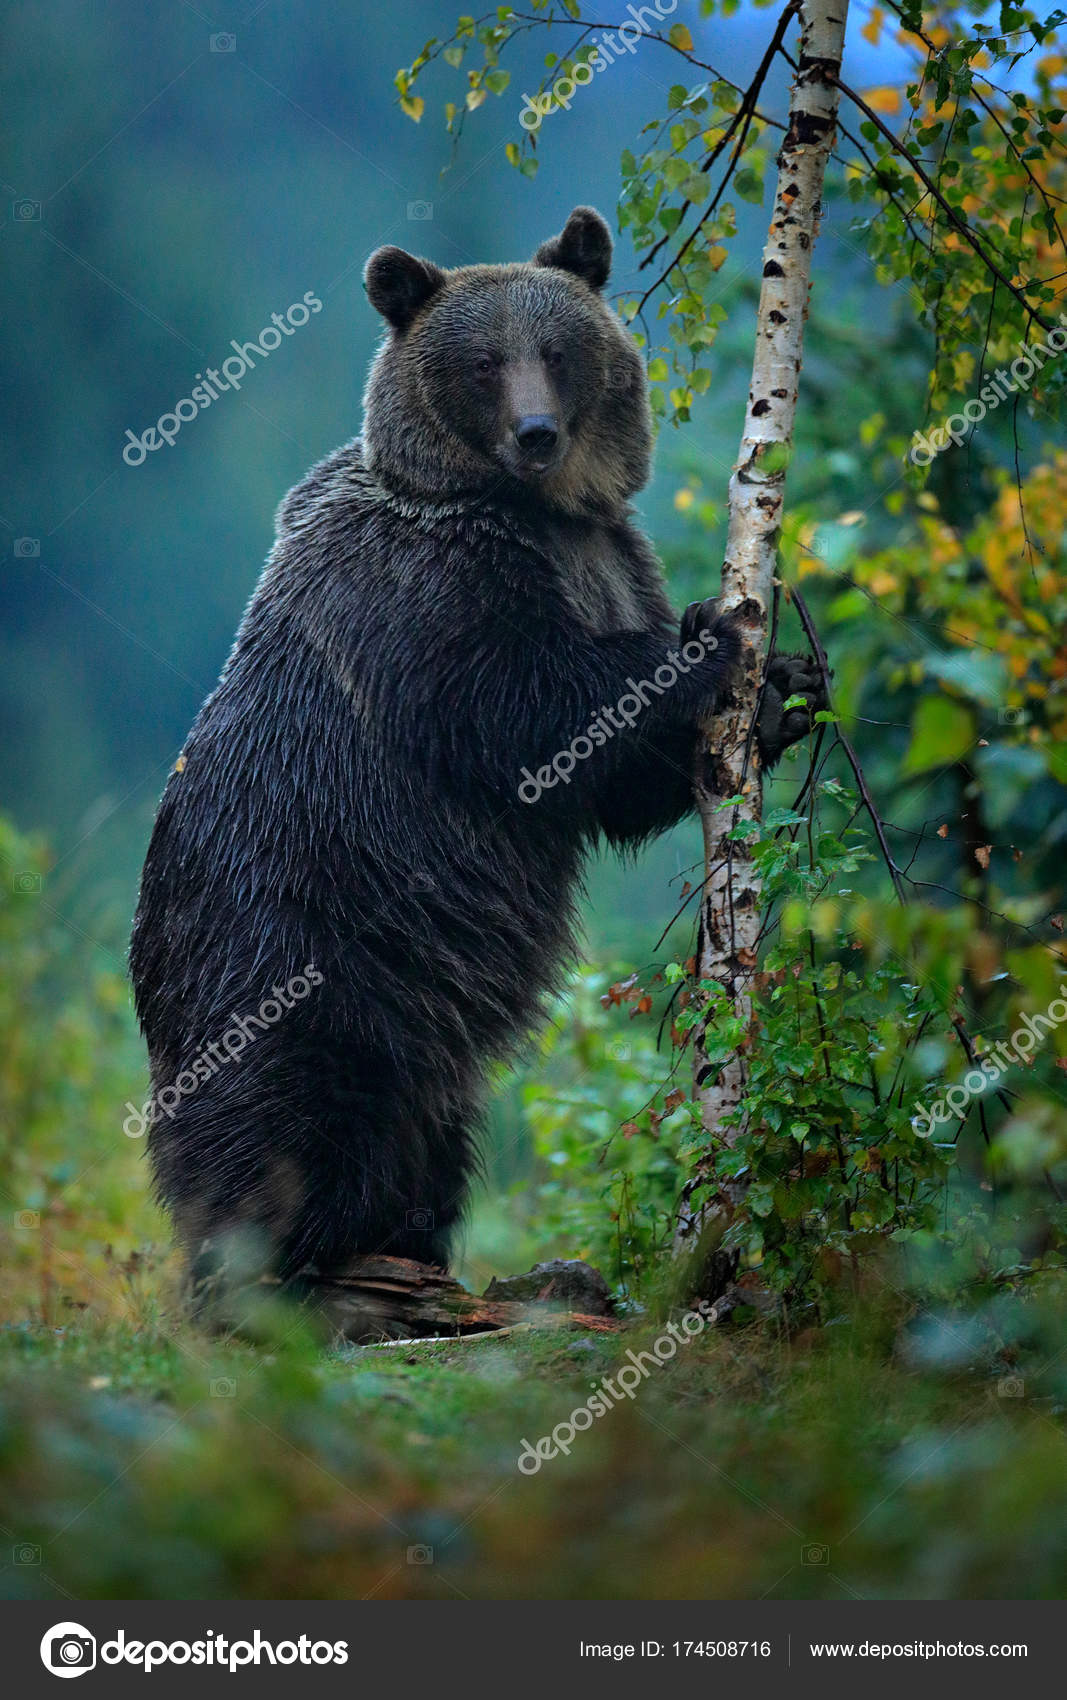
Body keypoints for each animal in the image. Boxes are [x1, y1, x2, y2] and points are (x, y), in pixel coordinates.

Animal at [129, 206, 824, 1300]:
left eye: (558, 349)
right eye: (483, 361)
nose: (536, 435)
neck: (542, 514)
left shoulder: (607, 556)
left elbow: (617, 784)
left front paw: (784, 689)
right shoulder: (426, 592)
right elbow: (536, 709)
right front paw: (709, 642)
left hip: (406, 1013)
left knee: (427, 1131)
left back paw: (429, 1247)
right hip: (286, 950)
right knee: (280, 1122)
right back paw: (291, 1273)